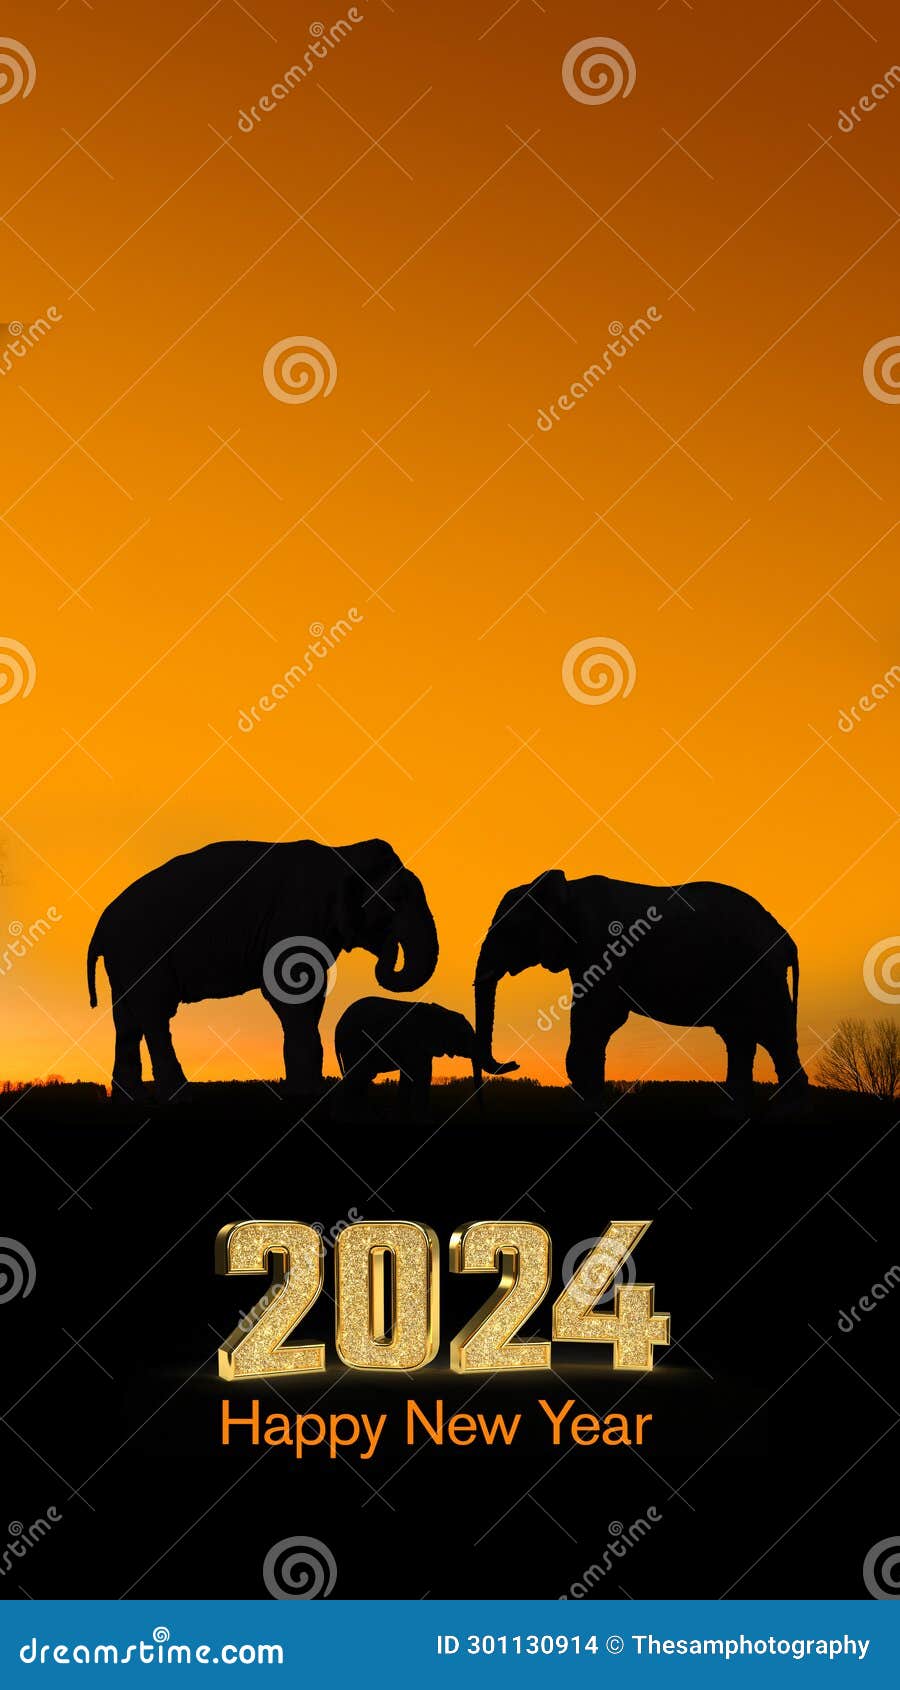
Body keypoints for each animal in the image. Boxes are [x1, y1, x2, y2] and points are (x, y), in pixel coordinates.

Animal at [87, 838, 438, 1100]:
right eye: (395, 899)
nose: (389, 949)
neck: (343, 853)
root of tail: (101, 924)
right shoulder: (296, 916)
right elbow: (292, 991)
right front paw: (306, 1095)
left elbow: (313, 997)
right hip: (142, 951)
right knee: (155, 1014)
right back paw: (179, 1097)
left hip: (124, 961)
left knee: (127, 1021)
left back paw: (131, 1100)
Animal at [474, 870, 807, 1109]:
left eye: (507, 930)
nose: (514, 1062)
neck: (567, 890)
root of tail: (786, 938)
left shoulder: (602, 946)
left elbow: (595, 1017)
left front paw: (589, 1107)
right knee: (740, 1039)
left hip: (760, 976)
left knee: (774, 1036)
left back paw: (789, 1112)